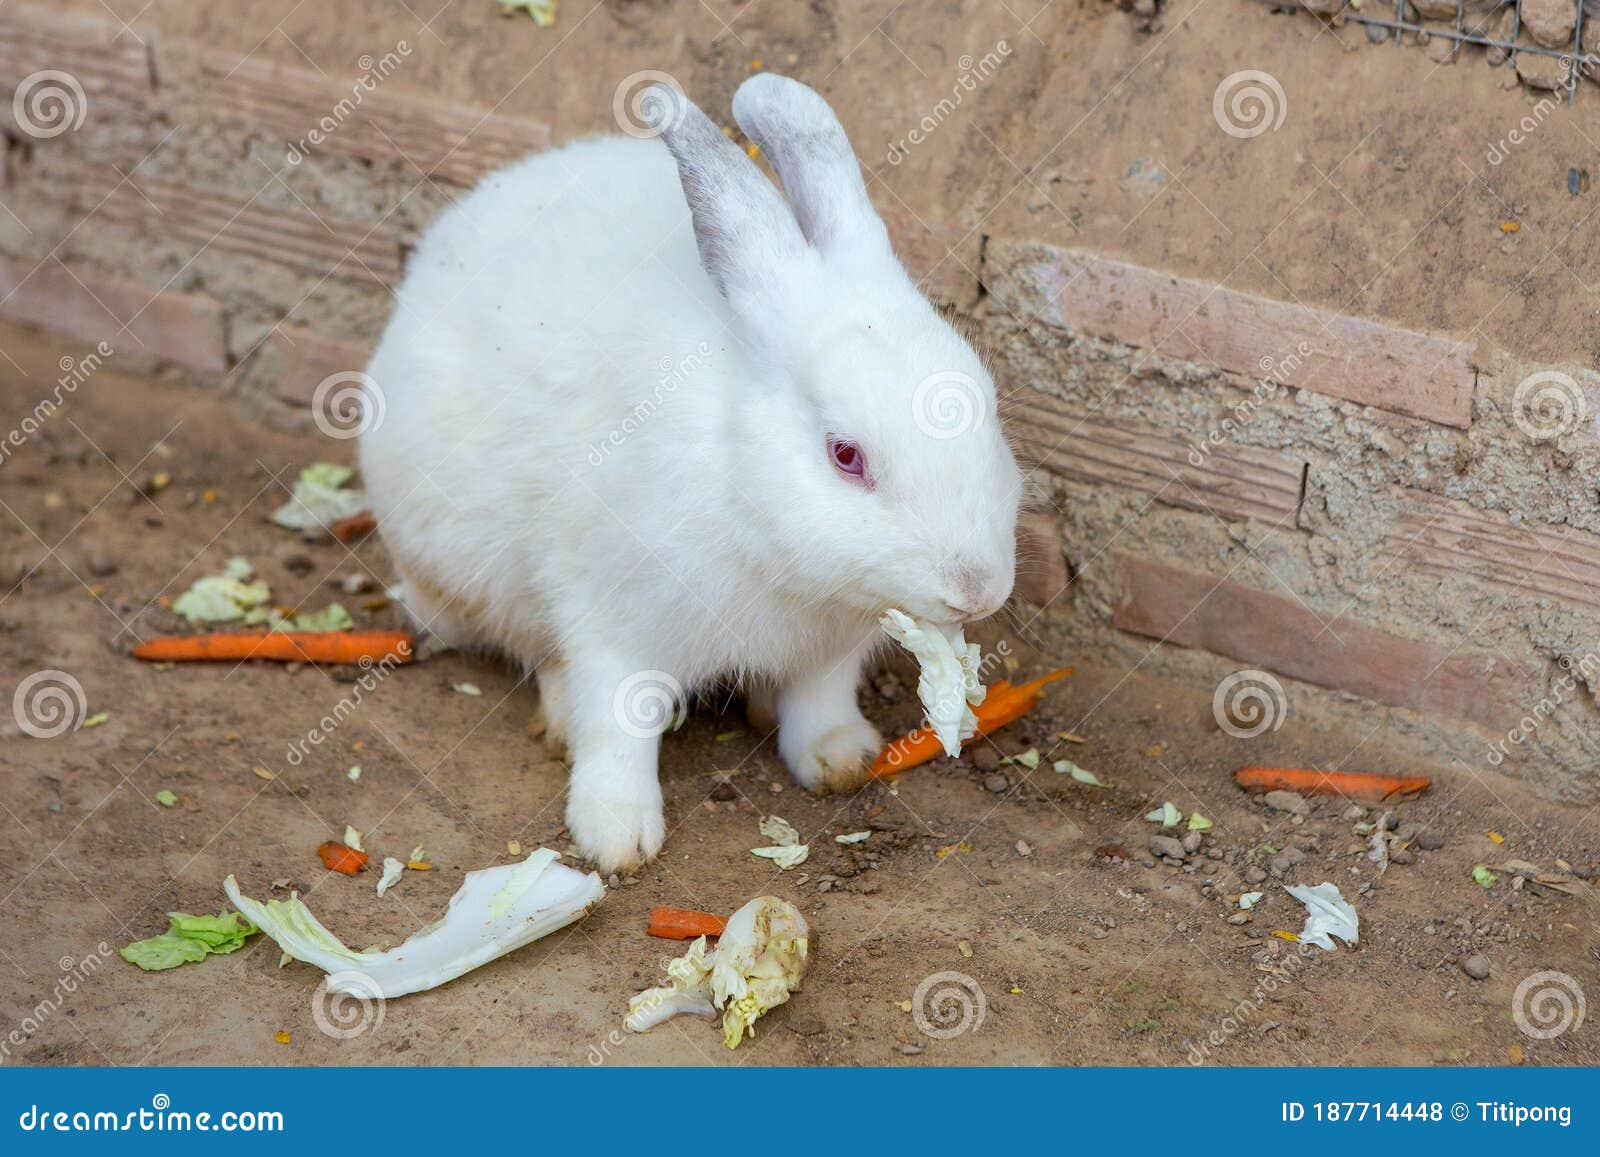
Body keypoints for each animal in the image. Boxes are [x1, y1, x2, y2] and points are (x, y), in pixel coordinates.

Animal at [358, 74, 1022, 873]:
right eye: (845, 455)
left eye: (986, 404)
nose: (979, 590)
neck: (744, 487)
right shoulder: (612, 621)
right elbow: (618, 726)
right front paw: (615, 837)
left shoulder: (831, 651)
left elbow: (820, 702)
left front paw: (841, 760)